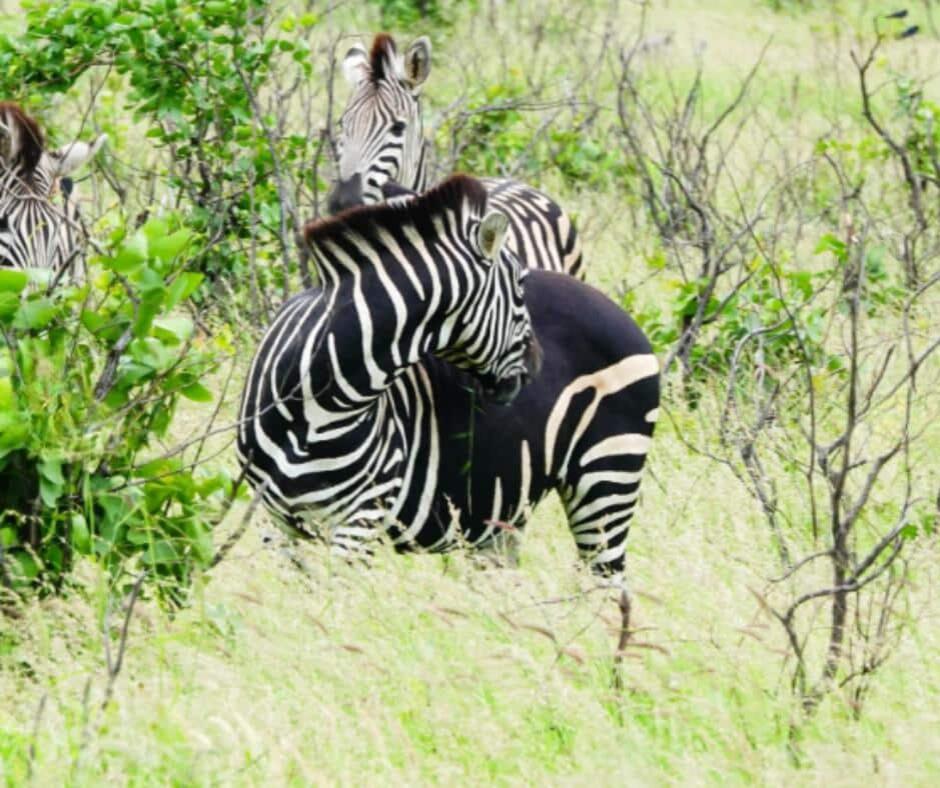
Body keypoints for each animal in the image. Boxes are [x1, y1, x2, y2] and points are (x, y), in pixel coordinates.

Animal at [237, 174, 659, 646]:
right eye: (519, 289)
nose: (537, 365)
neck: (317, 407)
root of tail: (608, 301)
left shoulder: (359, 520)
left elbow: (332, 610)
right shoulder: (273, 521)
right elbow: (297, 605)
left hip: (608, 472)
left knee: (607, 584)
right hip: (509, 508)